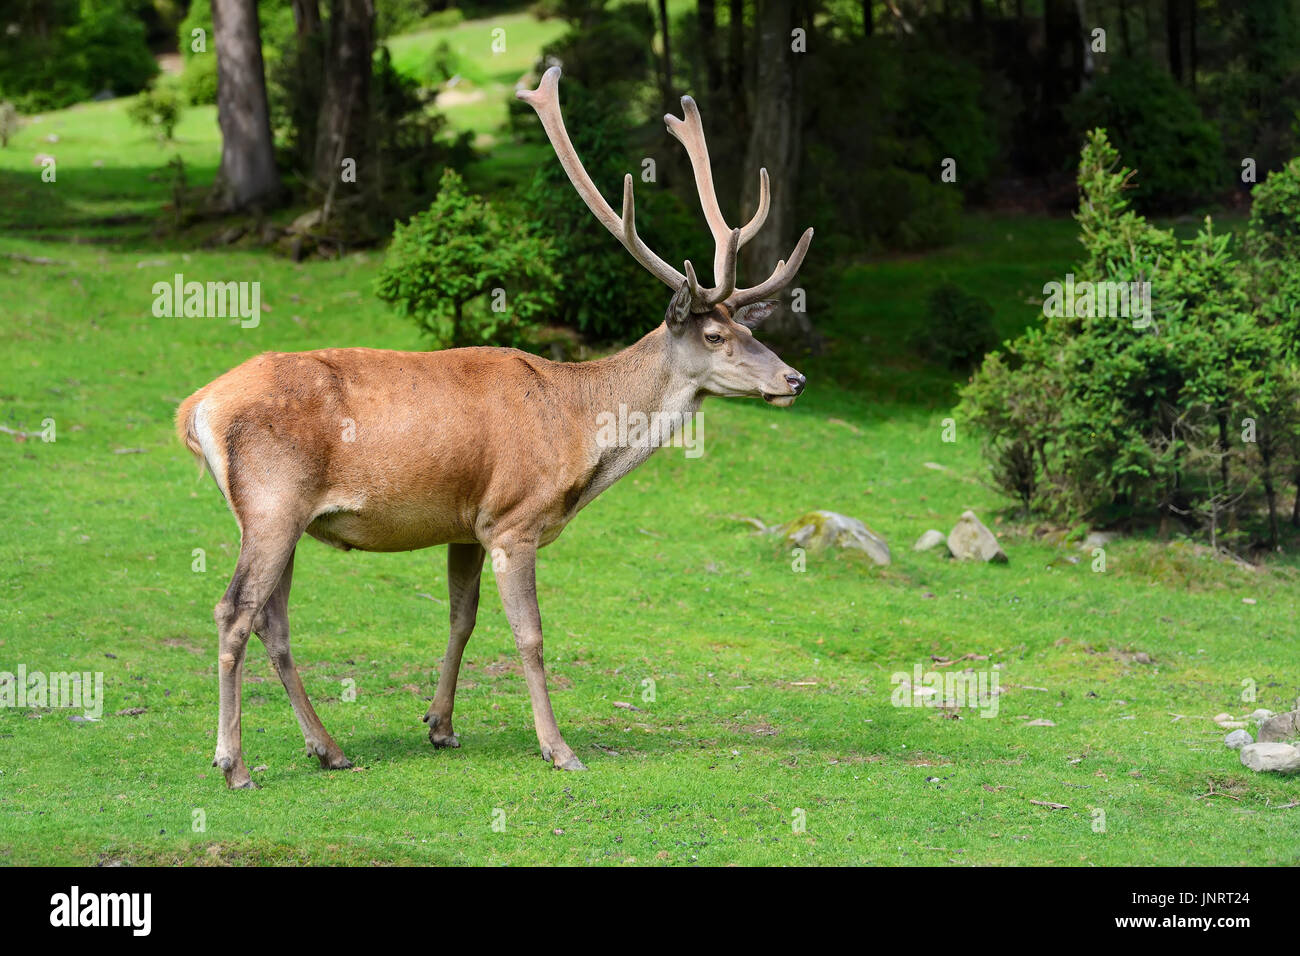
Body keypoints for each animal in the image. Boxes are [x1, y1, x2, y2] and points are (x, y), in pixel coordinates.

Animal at [175, 66, 813, 788]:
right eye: (714, 335)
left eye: (748, 330)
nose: (794, 379)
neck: (578, 431)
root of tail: (197, 407)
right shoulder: (514, 517)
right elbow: (529, 635)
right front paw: (559, 748)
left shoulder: (466, 522)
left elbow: (461, 619)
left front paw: (440, 726)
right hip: (273, 502)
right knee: (234, 612)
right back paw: (233, 763)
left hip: (276, 516)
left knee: (273, 621)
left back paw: (328, 748)